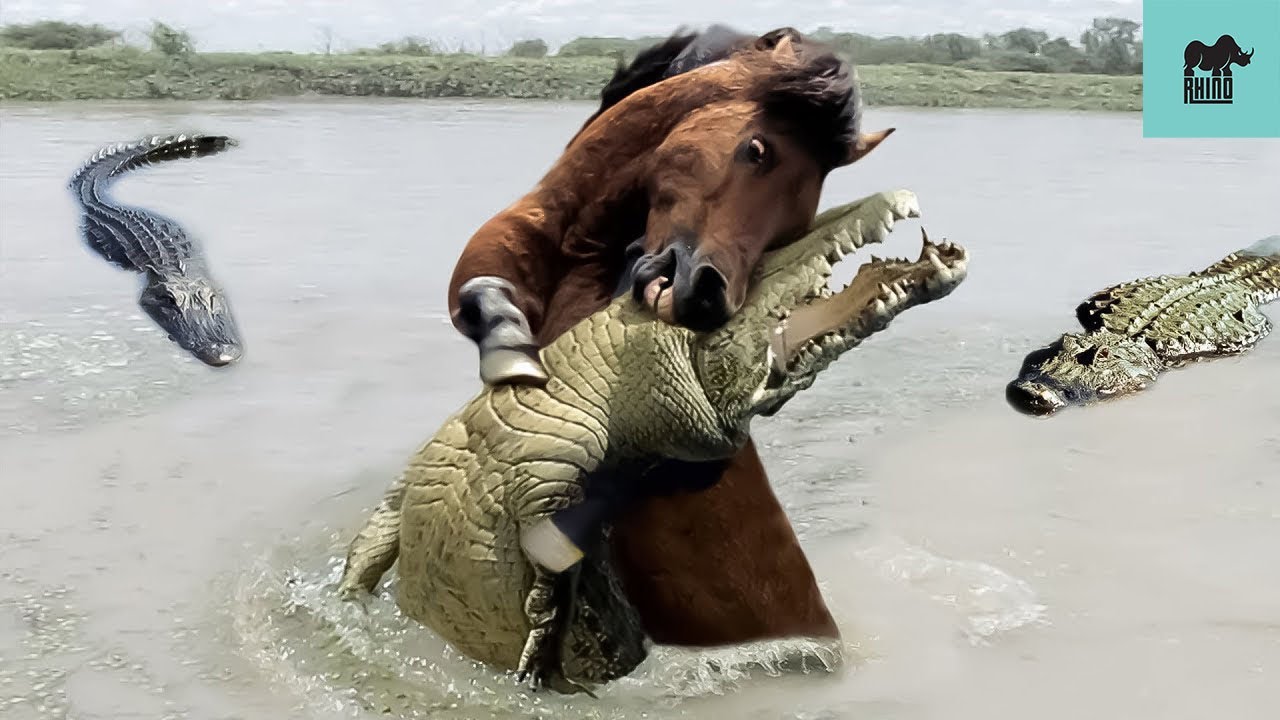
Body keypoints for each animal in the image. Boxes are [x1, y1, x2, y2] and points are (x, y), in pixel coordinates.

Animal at [444, 27, 894, 647]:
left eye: (792, 228)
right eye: (756, 150)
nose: (705, 295)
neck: (590, 252)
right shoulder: (510, 240)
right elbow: (481, 290)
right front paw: (511, 355)